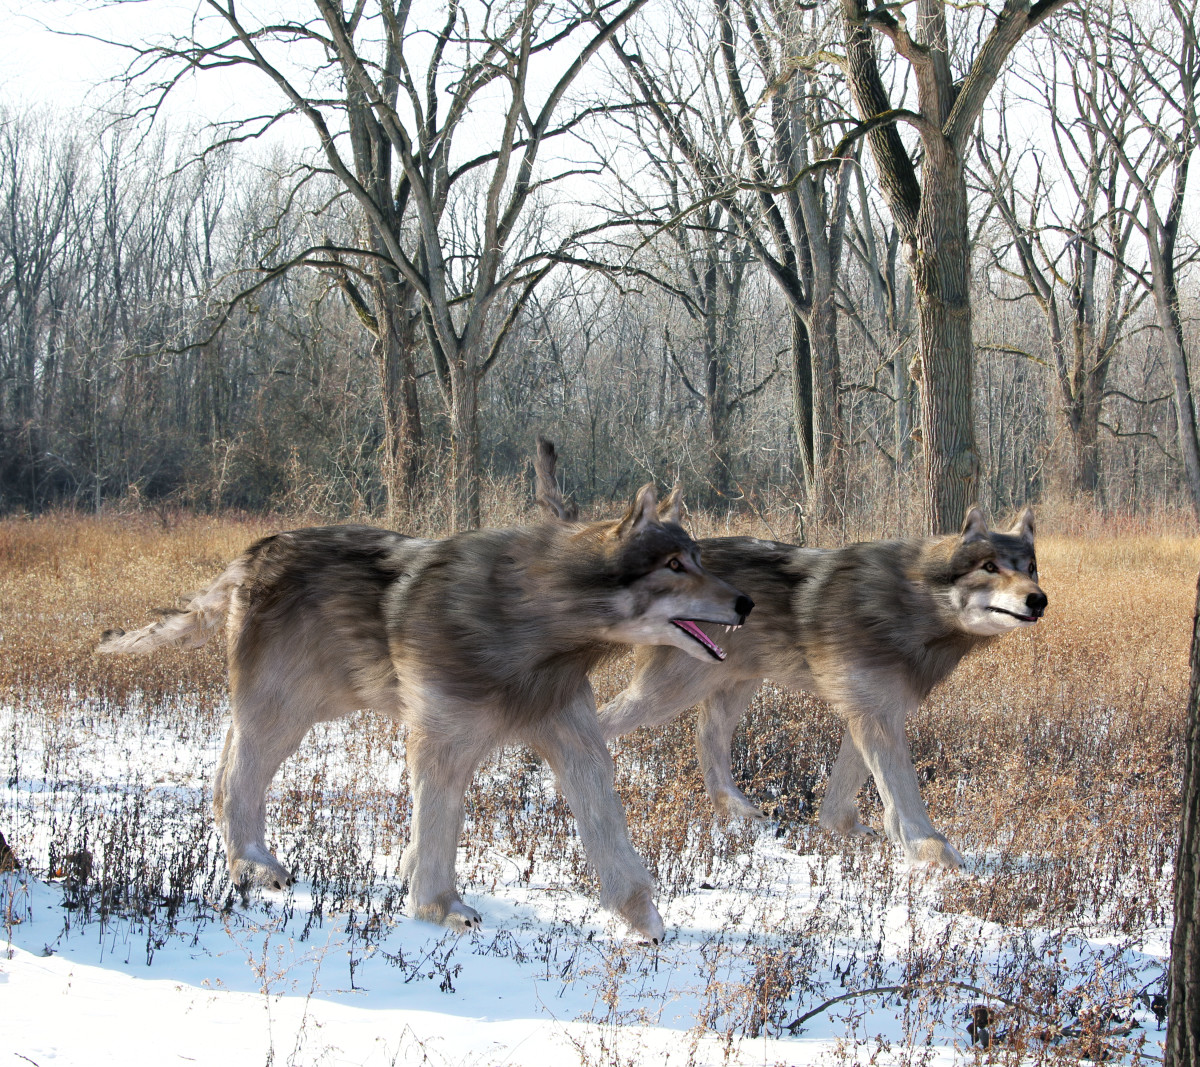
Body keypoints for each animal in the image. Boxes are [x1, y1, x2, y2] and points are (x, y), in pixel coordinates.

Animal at [97, 440, 753, 941]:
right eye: (673, 565)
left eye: (698, 558)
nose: (747, 602)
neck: (534, 623)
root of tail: (253, 553)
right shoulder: (438, 746)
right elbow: (438, 830)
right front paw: (438, 908)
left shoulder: (578, 744)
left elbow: (609, 833)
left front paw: (645, 921)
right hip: (283, 716)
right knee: (241, 780)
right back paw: (251, 866)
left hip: (298, 709)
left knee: (226, 765)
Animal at [597, 508, 1046, 868]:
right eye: (989, 567)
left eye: (1030, 567)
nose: (1038, 600)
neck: (910, 605)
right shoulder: (875, 716)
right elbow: (904, 794)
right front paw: (932, 852)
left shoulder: (873, 711)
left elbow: (846, 790)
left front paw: (844, 831)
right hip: (668, 693)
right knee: (602, 721)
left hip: (735, 685)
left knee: (707, 735)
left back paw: (738, 811)